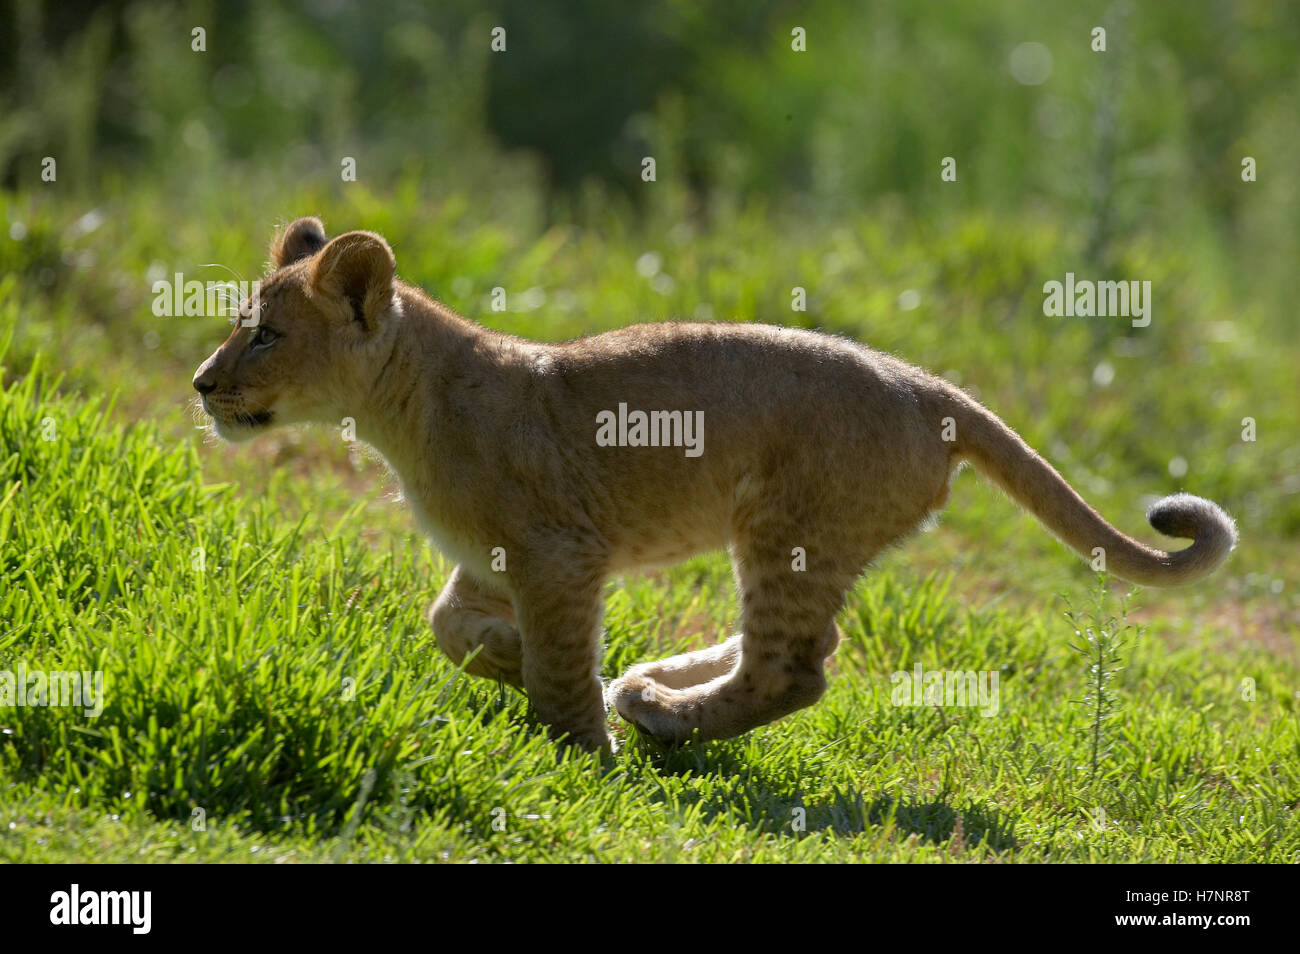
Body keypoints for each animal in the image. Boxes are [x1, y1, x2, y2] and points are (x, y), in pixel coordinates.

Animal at [193, 217, 1237, 752]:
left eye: (266, 335)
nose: (201, 383)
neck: (401, 412)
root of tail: (936, 389)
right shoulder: (492, 562)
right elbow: (448, 626)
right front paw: (509, 659)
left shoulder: (558, 554)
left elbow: (560, 665)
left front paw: (578, 745)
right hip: (794, 541)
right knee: (798, 647)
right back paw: (651, 683)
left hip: (787, 525)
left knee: (793, 670)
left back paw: (659, 715)